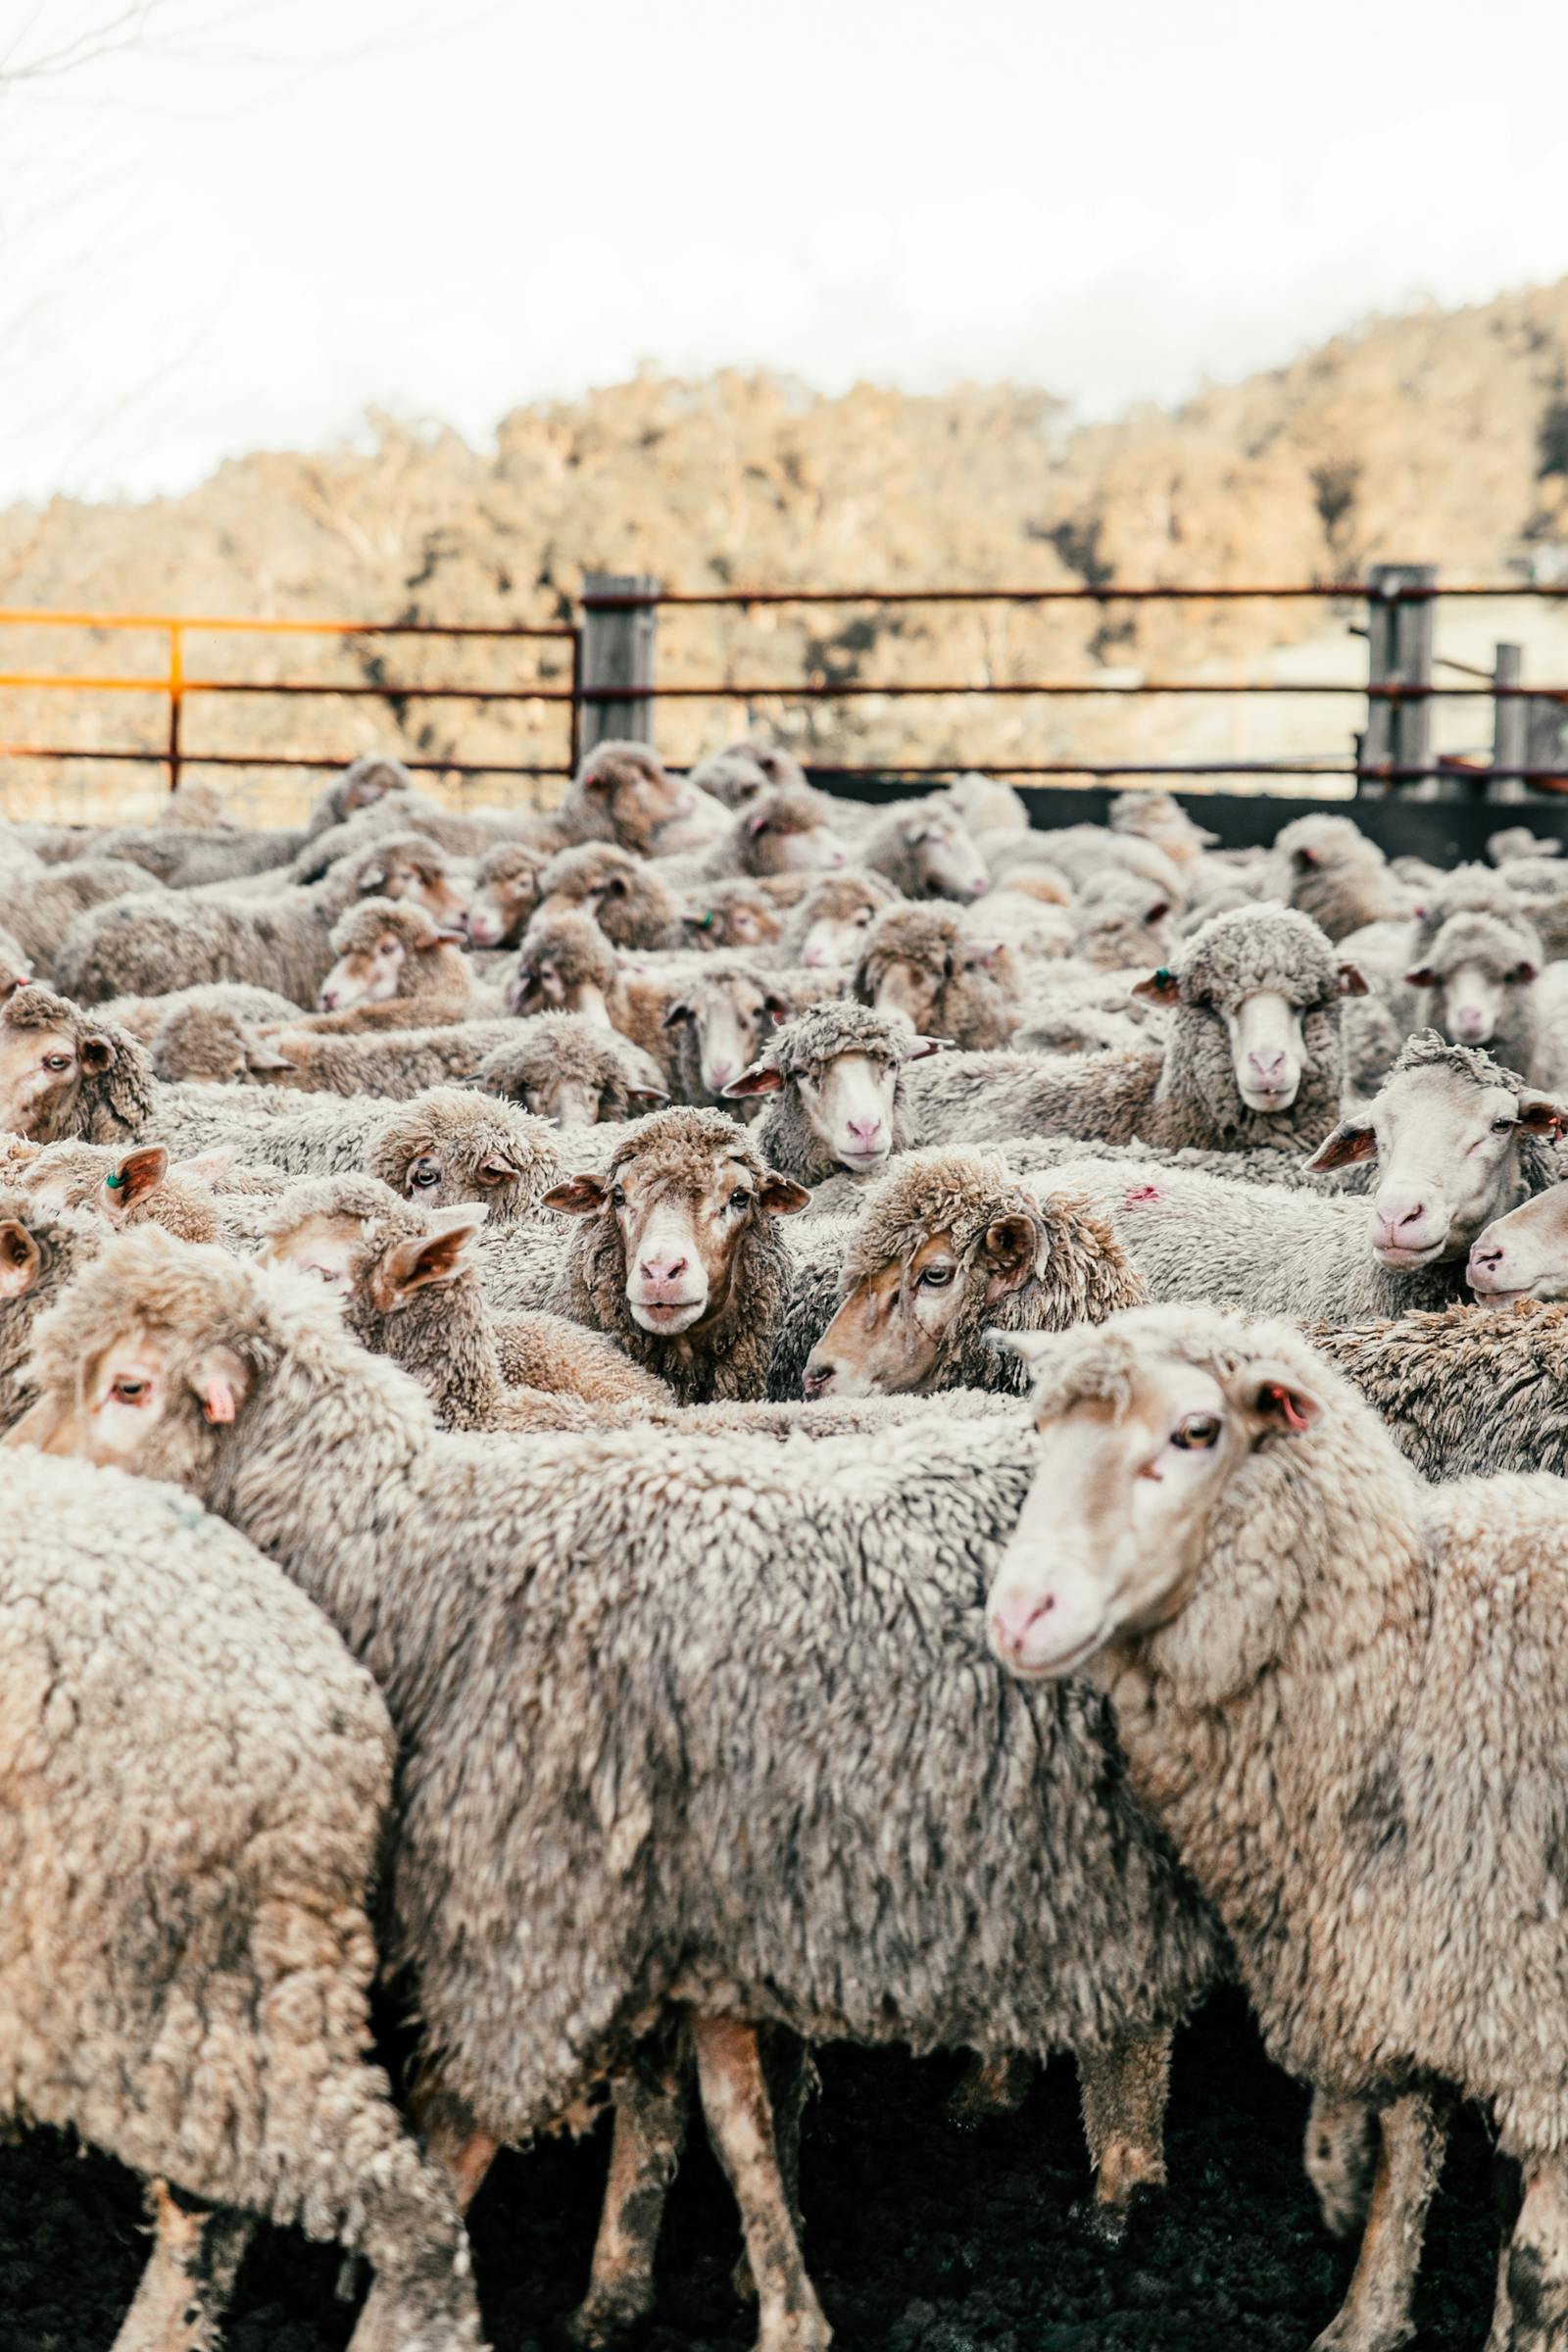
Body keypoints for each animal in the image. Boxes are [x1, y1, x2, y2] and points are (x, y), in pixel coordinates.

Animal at [983, 1297, 1568, 2352]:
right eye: (1041, 1429)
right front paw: (1366, 2317)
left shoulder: (1537, 2030)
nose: (1018, 1612)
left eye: (1195, 1431)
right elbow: (1405, 2156)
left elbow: (1539, 2262)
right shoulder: (1408, 1964)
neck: (1413, 1667)